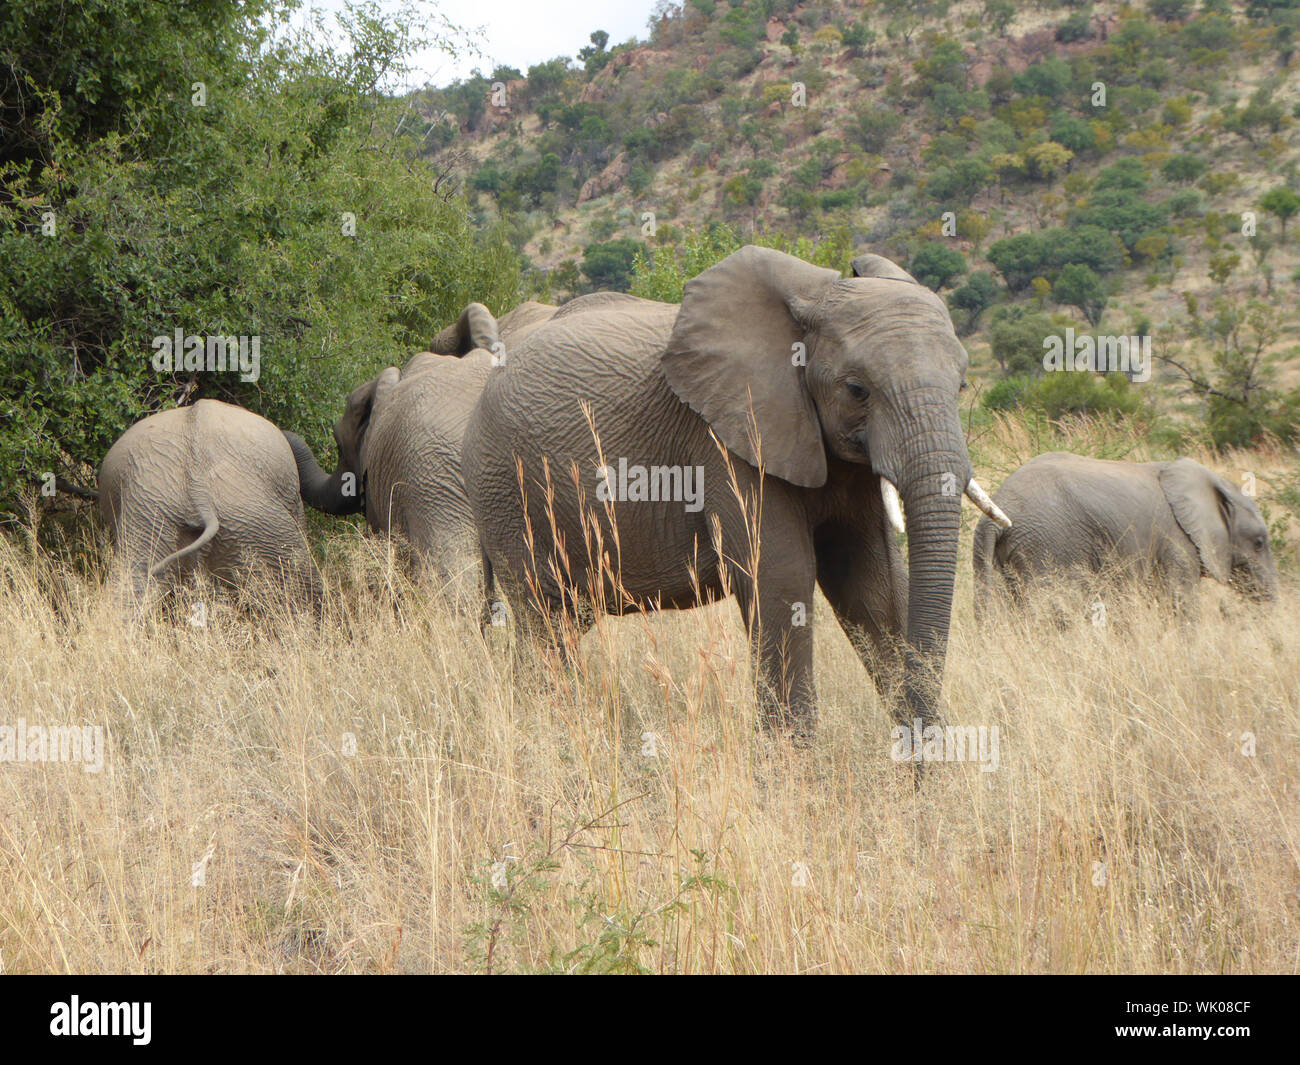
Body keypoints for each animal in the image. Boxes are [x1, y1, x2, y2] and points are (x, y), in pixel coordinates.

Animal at [462, 246, 1010, 738]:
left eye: (962, 385)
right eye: (857, 389)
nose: (920, 763)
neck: (814, 295)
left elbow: (870, 580)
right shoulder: (726, 441)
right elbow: (782, 577)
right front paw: (794, 771)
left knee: (563, 622)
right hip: (505, 489)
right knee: (543, 620)